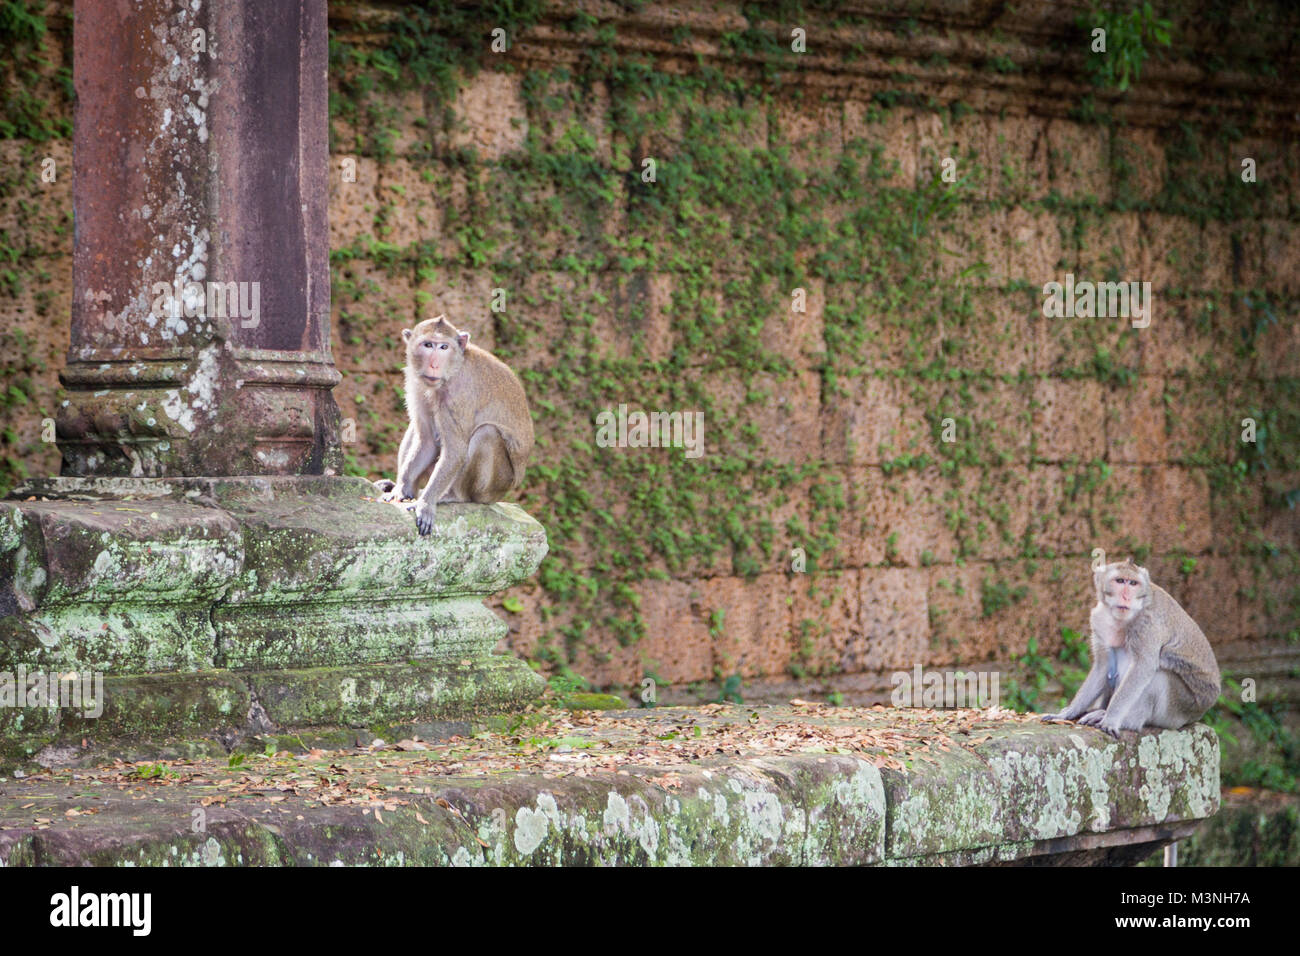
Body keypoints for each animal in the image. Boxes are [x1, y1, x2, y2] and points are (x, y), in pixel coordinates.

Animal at [375, 314, 534, 535]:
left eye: (443, 347)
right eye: (428, 345)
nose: (434, 365)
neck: (453, 369)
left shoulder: (458, 395)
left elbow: (456, 451)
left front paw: (425, 504)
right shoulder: (416, 384)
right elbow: (427, 441)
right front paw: (402, 490)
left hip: (495, 486)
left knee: (487, 434)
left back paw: (453, 496)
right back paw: (403, 489)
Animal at [1041, 559, 1220, 737]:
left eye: (1133, 583)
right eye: (1120, 581)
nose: (1126, 597)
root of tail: (1196, 717)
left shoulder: (1146, 624)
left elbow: (1143, 667)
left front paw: (1110, 720)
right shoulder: (1098, 619)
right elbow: (1102, 666)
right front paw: (1068, 712)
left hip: (1177, 711)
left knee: (1158, 677)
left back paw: (1122, 719)